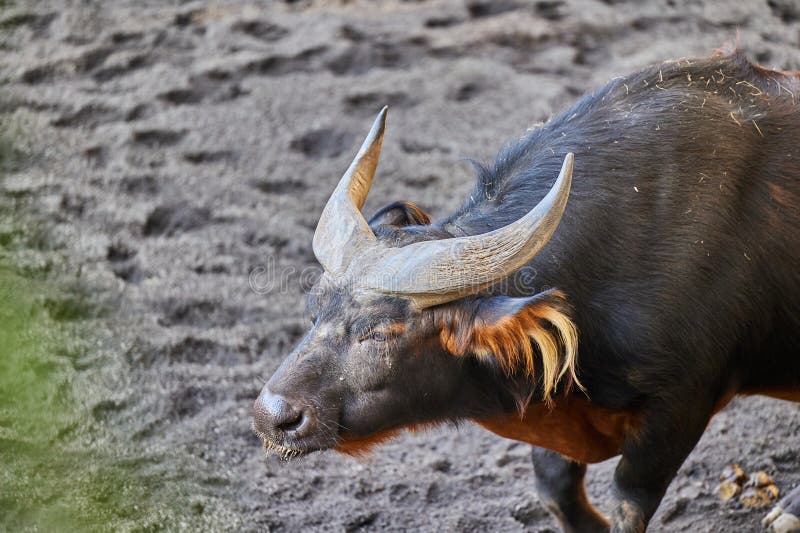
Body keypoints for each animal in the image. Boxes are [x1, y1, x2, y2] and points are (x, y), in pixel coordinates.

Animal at [253, 50, 800, 532]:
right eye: (314, 307)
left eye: (382, 331)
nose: (273, 415)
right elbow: (555, 486)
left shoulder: (679, 409)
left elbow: (629, 501)